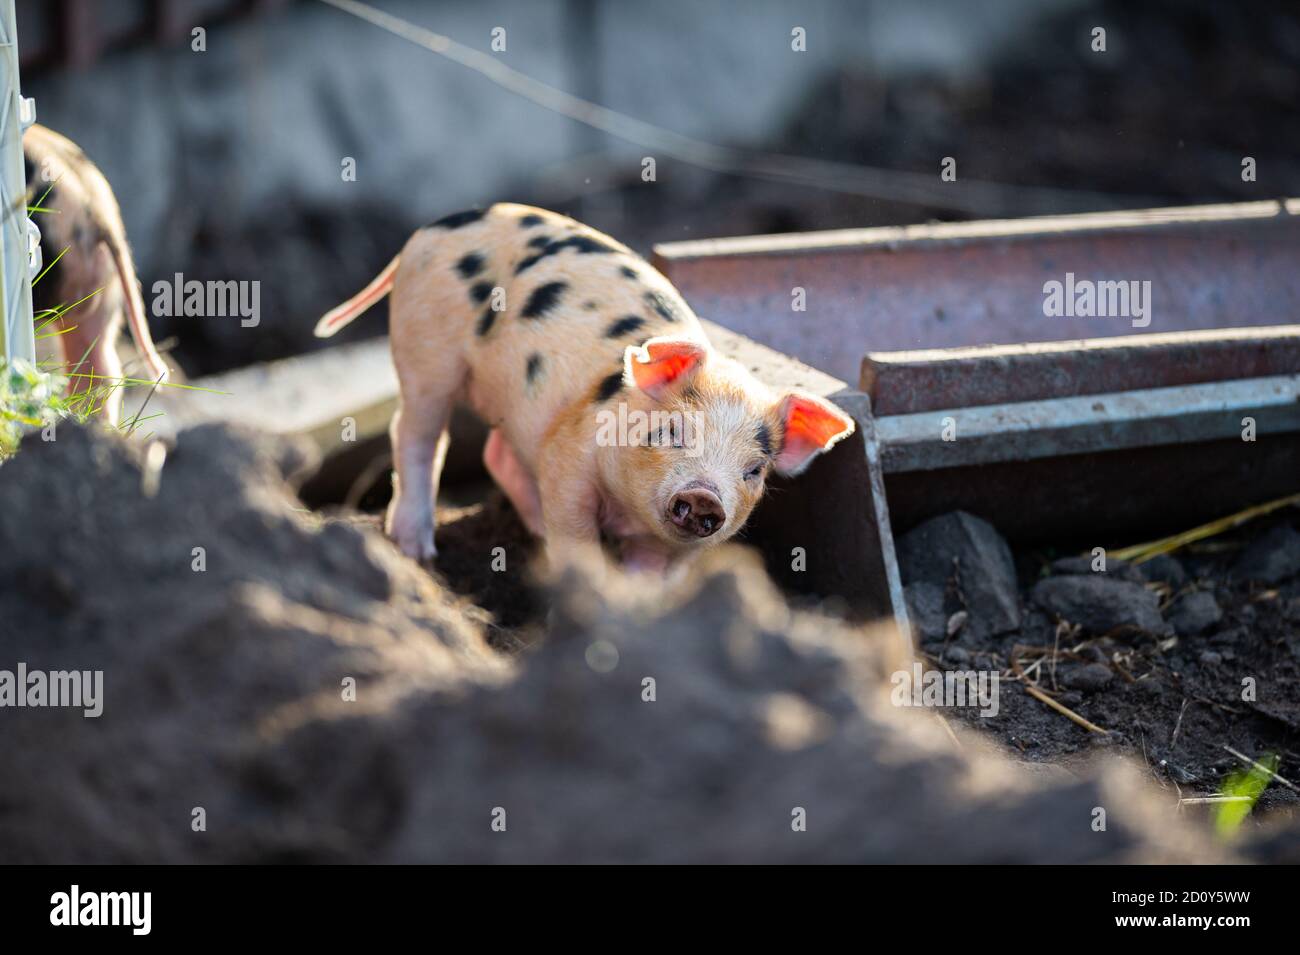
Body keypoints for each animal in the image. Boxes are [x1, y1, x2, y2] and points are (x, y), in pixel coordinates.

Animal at [315, 203, 854, 572]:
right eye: (672, 431)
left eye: (754, 471)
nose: (705, 496)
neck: (630, 513)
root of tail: (430, 229)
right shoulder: (569, 456)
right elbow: (576, 534)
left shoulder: (683, 545)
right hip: (426, 350)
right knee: (417, 433)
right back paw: (415, 550)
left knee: (495, 451)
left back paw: (532, 528)